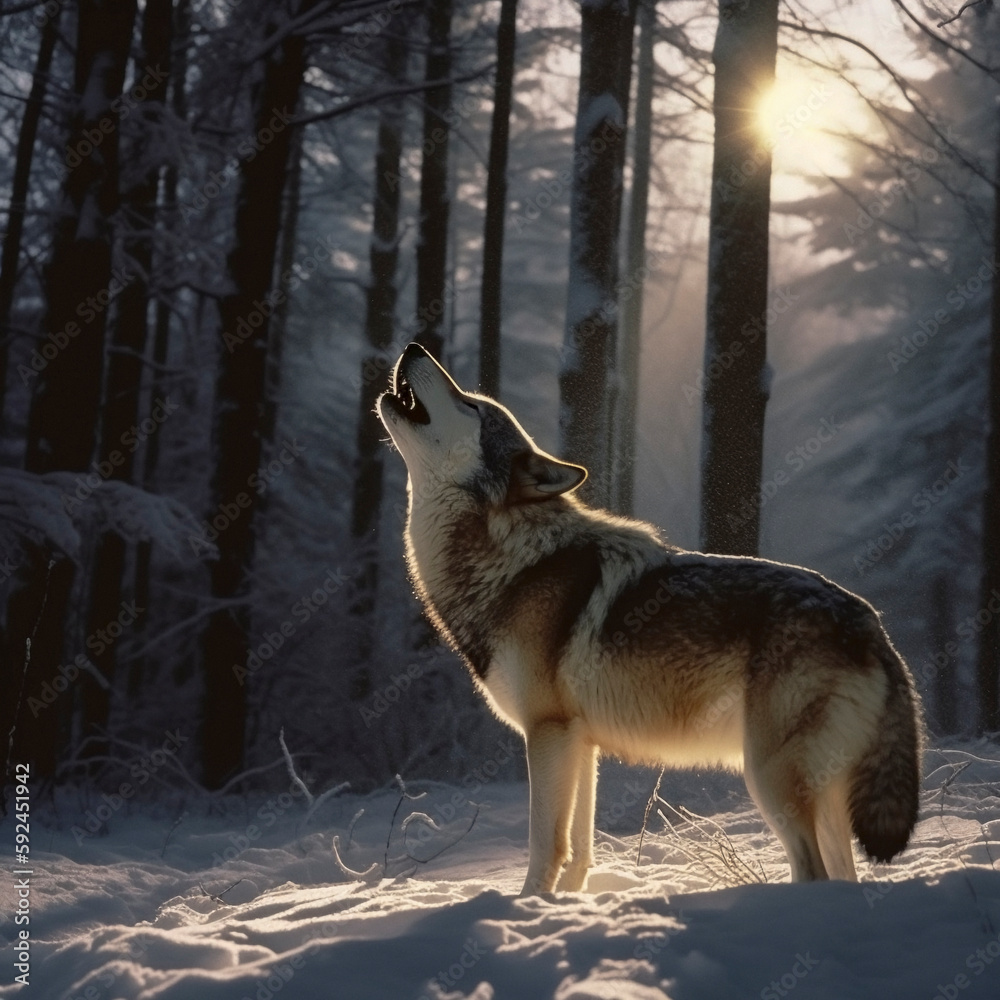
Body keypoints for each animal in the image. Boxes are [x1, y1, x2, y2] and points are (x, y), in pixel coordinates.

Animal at [377, 342, 922, 895]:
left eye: (472, 405)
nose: (414, 347)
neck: (513, 559)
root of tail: (871, 623)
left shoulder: (547, 731)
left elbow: (545, 847)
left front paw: (529, 904)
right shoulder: (580, 743)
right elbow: (579, 851)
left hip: (768, 778)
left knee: (812, 872)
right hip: (821, 796)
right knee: (843, 875)